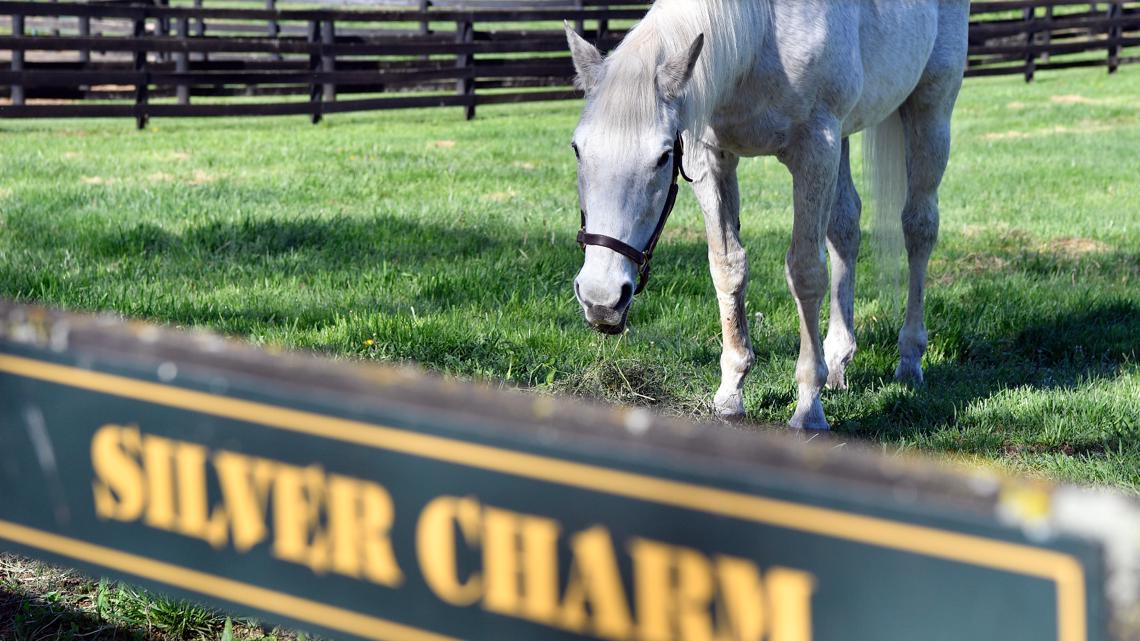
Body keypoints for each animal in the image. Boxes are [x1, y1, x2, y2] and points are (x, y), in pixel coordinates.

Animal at [565, 0, 969, 430]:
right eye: (577, 148)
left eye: (663, 157)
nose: (601, 299)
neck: (762, 36)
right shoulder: (711, 159)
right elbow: (728, 268)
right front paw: (731, 392)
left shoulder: (814, 150)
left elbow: (805, 273)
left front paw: (808, 408)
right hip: (844, 136)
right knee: (845, 228)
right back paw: (838, 361)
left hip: (930, 110)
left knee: (918, 228)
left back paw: (909, 359)